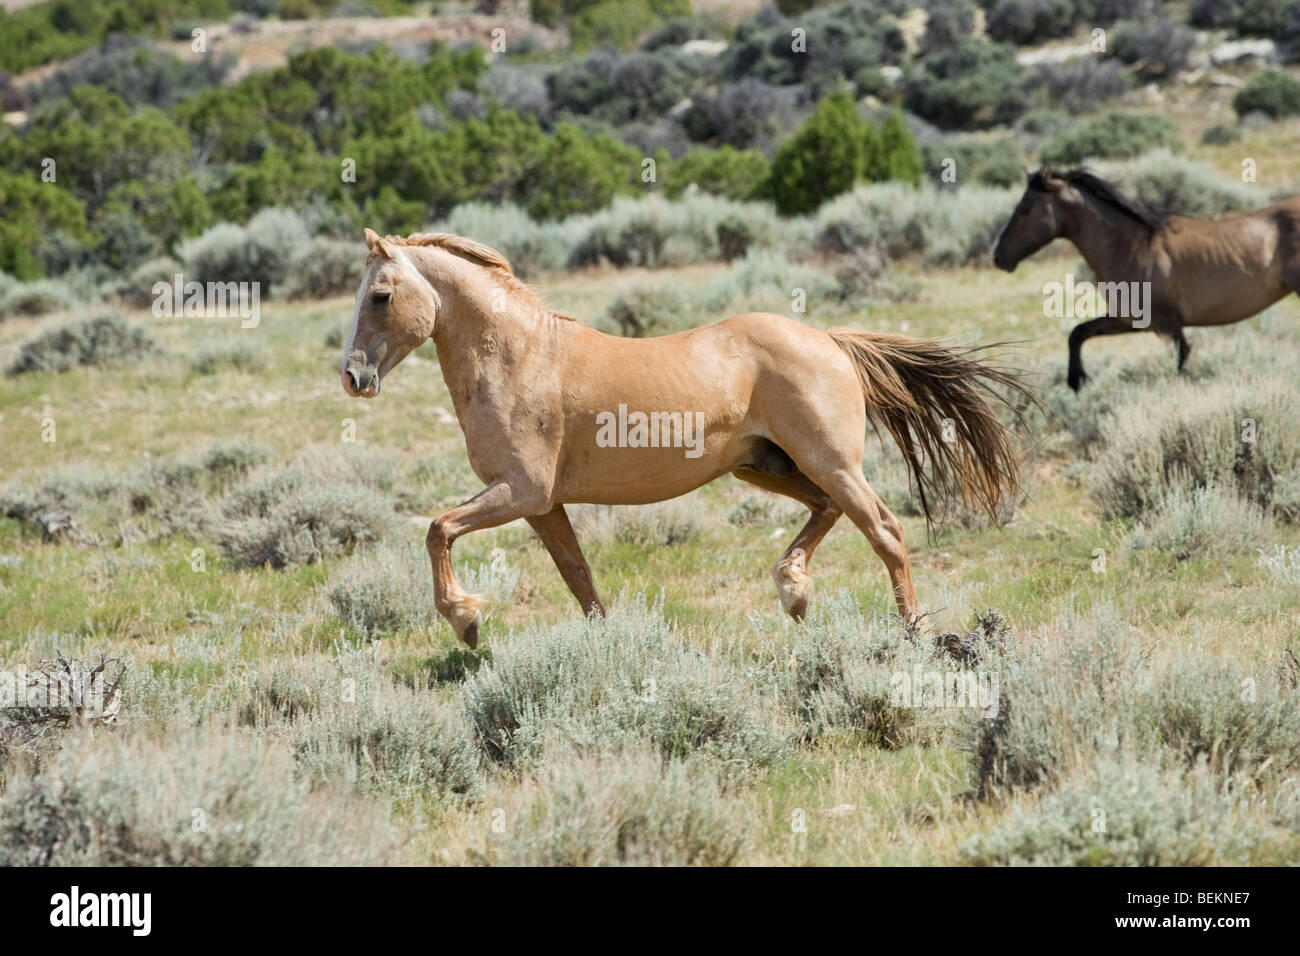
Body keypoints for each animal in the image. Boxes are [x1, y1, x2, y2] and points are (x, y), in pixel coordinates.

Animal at [340, 228, 1032, 648]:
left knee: (884, 530)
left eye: (381, 296)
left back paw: (911, 630)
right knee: (827, 512)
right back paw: (794, 592)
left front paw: (466, 621)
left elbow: (437, 529)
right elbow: (578, 576)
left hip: (828, 461)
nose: (353, 376)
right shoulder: (542, 505)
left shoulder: (520, 492)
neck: (520, 356)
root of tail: (831, 340)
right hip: (767, 466)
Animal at [992, 166, 1300, 390]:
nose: (998, 256)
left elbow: (1183, 357)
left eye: (1025, 208)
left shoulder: (1166, 322)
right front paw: (1078, 381)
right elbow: (1078, 333)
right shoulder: (1131, 320)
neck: (1129, 247)